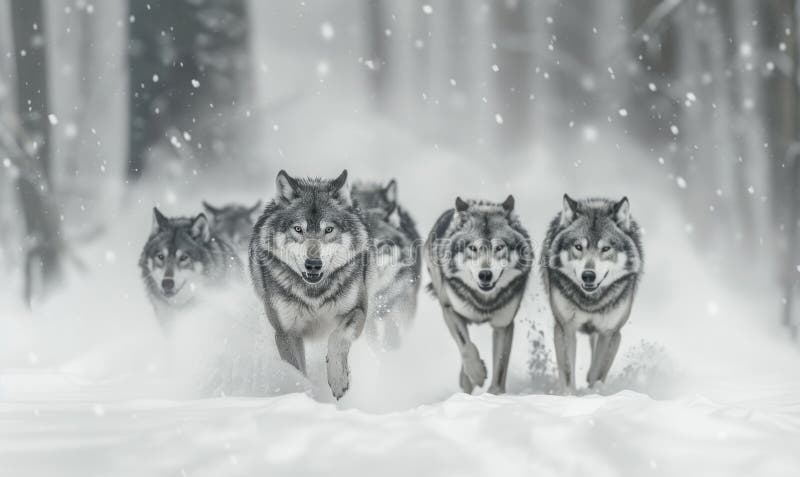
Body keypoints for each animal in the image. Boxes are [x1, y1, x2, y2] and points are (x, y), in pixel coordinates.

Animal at [249, 170, 372, 399]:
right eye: (298, 229)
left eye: (329, 229)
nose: (313, 264)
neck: (314, 292)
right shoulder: (286, 332)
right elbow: (298, 374)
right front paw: (306, 395)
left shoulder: (358, 310)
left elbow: (337, 337)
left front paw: (338, 379)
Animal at [425, 196, 533, 394]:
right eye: (473, 248)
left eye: (499, 247)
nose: (485, 275)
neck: (484, 301)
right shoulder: (449, 310)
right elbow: (466, 346)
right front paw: (477, 373)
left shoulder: (503, 324)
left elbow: (500, 365)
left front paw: (494, 394)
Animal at [540, 195, 644, 393]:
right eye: (578, 247)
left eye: (606, 249)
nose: (588, 275)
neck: (591, 302)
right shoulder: (565, 327)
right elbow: (567, 371)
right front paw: (569, 395)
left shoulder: (610, 333)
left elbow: (598, 371)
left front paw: (594, 393)